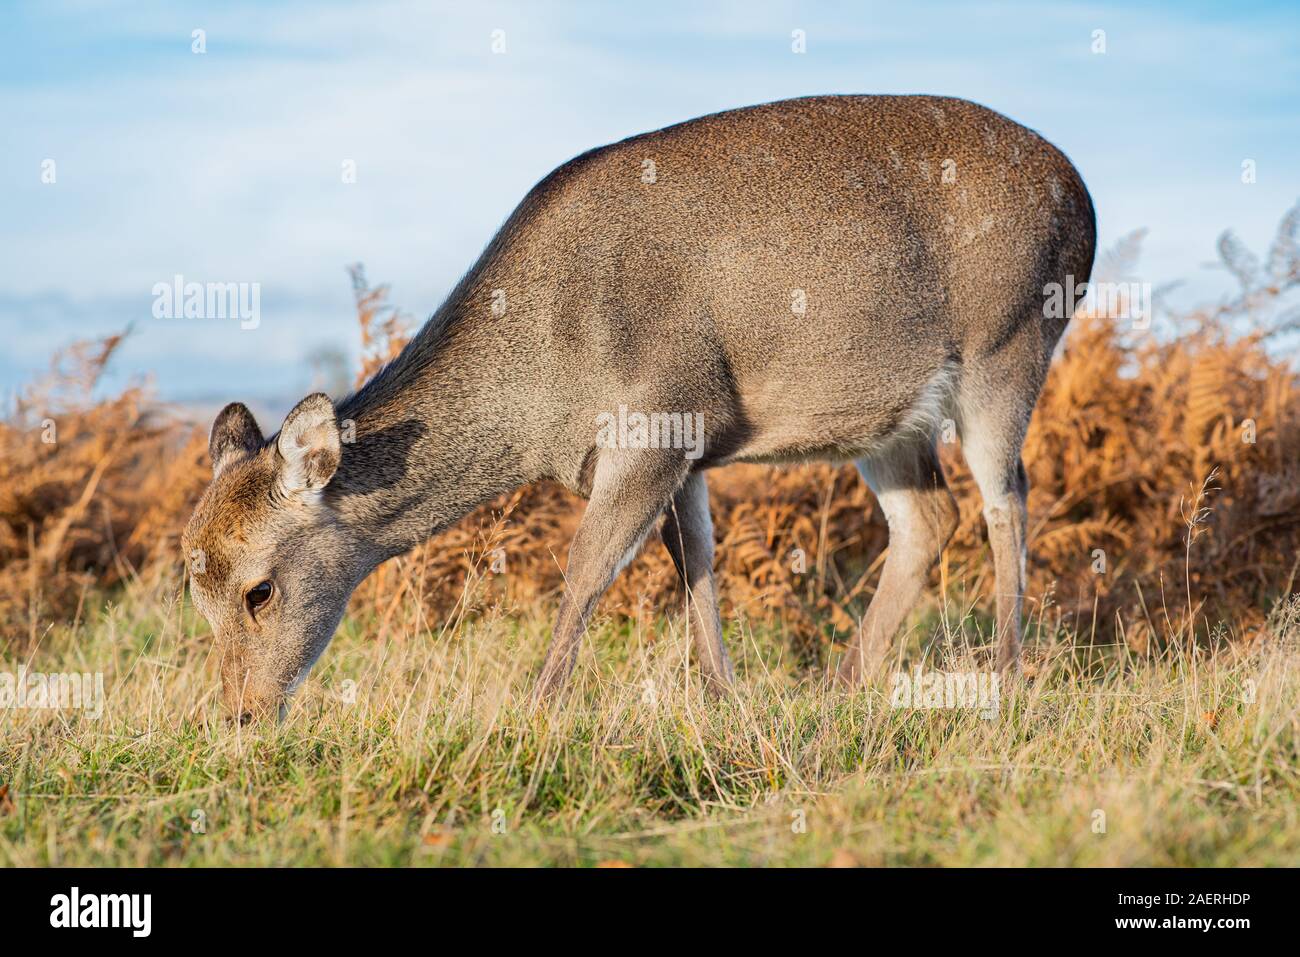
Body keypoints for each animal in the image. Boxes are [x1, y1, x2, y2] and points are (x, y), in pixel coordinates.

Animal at [182, 95, 1096, 723]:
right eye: (194, 587)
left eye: (259, 589)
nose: (239, 714)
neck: (546, 392)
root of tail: (1081, 194)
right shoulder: (689, 439)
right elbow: (695, 563)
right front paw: (723, 699)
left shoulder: (654, 418)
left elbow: (586, 568)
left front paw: (534, 713)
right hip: (887, 415)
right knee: (930, 518)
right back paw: (841, 686)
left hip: (1008, 342)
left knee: (1006, 498)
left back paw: (1006, 676)